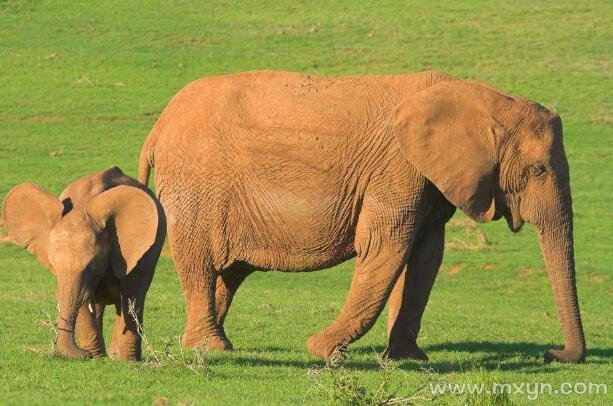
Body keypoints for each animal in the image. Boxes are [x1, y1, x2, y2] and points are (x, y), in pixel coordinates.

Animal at [1, 167, 165, 360]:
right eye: (54, 267)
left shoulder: (137, 253)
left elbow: (131, 296)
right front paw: (95, 356)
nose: (84, 354)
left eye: (94, 267)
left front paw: (125, 361)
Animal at [137, 69, 584, 362]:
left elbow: (426, 256)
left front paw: (407, 360)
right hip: (195, 181)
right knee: (199, 262)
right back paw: (211, 348)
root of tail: (157, 128)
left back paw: (212, 343)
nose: (552, 354)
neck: (485, 100)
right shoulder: (398, 167)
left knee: (228, 274)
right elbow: (387, 245)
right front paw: (321, 351)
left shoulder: (429, 177)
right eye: (537, 170)